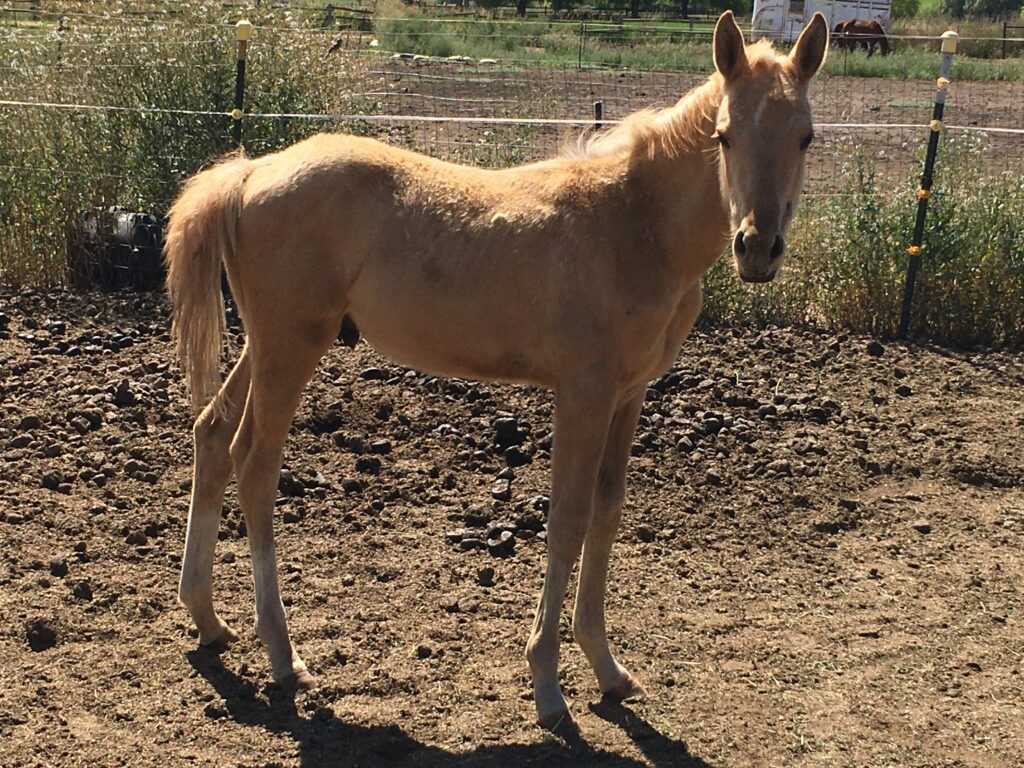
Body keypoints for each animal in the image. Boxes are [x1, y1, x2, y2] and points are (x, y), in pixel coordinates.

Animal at [166, 10, 828, 730]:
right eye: (724, 136)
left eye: (806, 137)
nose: (757, 248)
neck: (633, 224)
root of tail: (250, 172)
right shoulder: (584, 392)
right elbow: (567, 520)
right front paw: (548, 687)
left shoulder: (629, 393)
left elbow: (607, 512)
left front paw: (608, 669)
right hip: (291, 347)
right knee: (255, 462)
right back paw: (284, 656)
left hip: (266, 345)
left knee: (211, 434)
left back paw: (209, 620)